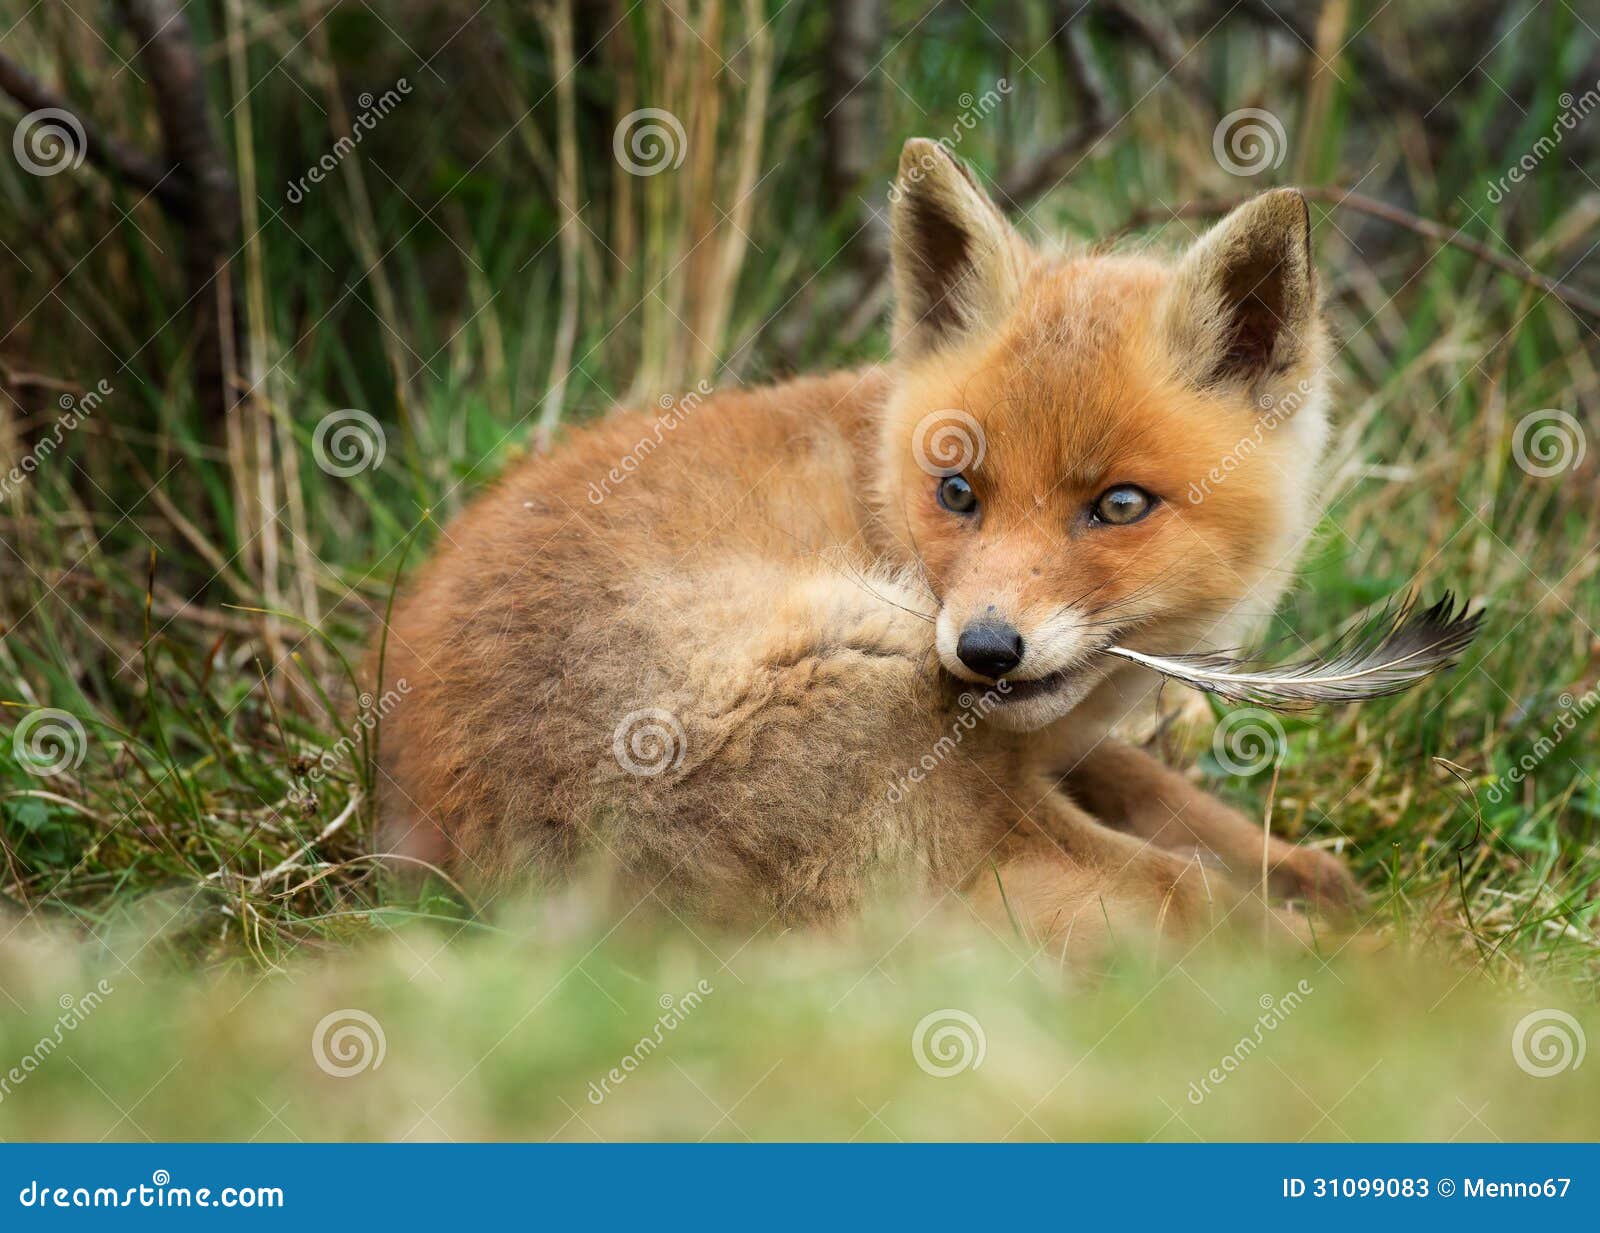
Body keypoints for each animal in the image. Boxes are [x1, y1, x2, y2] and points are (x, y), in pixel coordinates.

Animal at [374, 138, 1360, 960]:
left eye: (1120, 505)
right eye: (957, 492)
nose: (985, 649)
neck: (875, 485)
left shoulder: (1040, 738)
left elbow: (1160, 788)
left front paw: (1301, 864)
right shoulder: (998, 754)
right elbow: (1179, 865)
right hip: (899, 672)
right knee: (1180, 897)